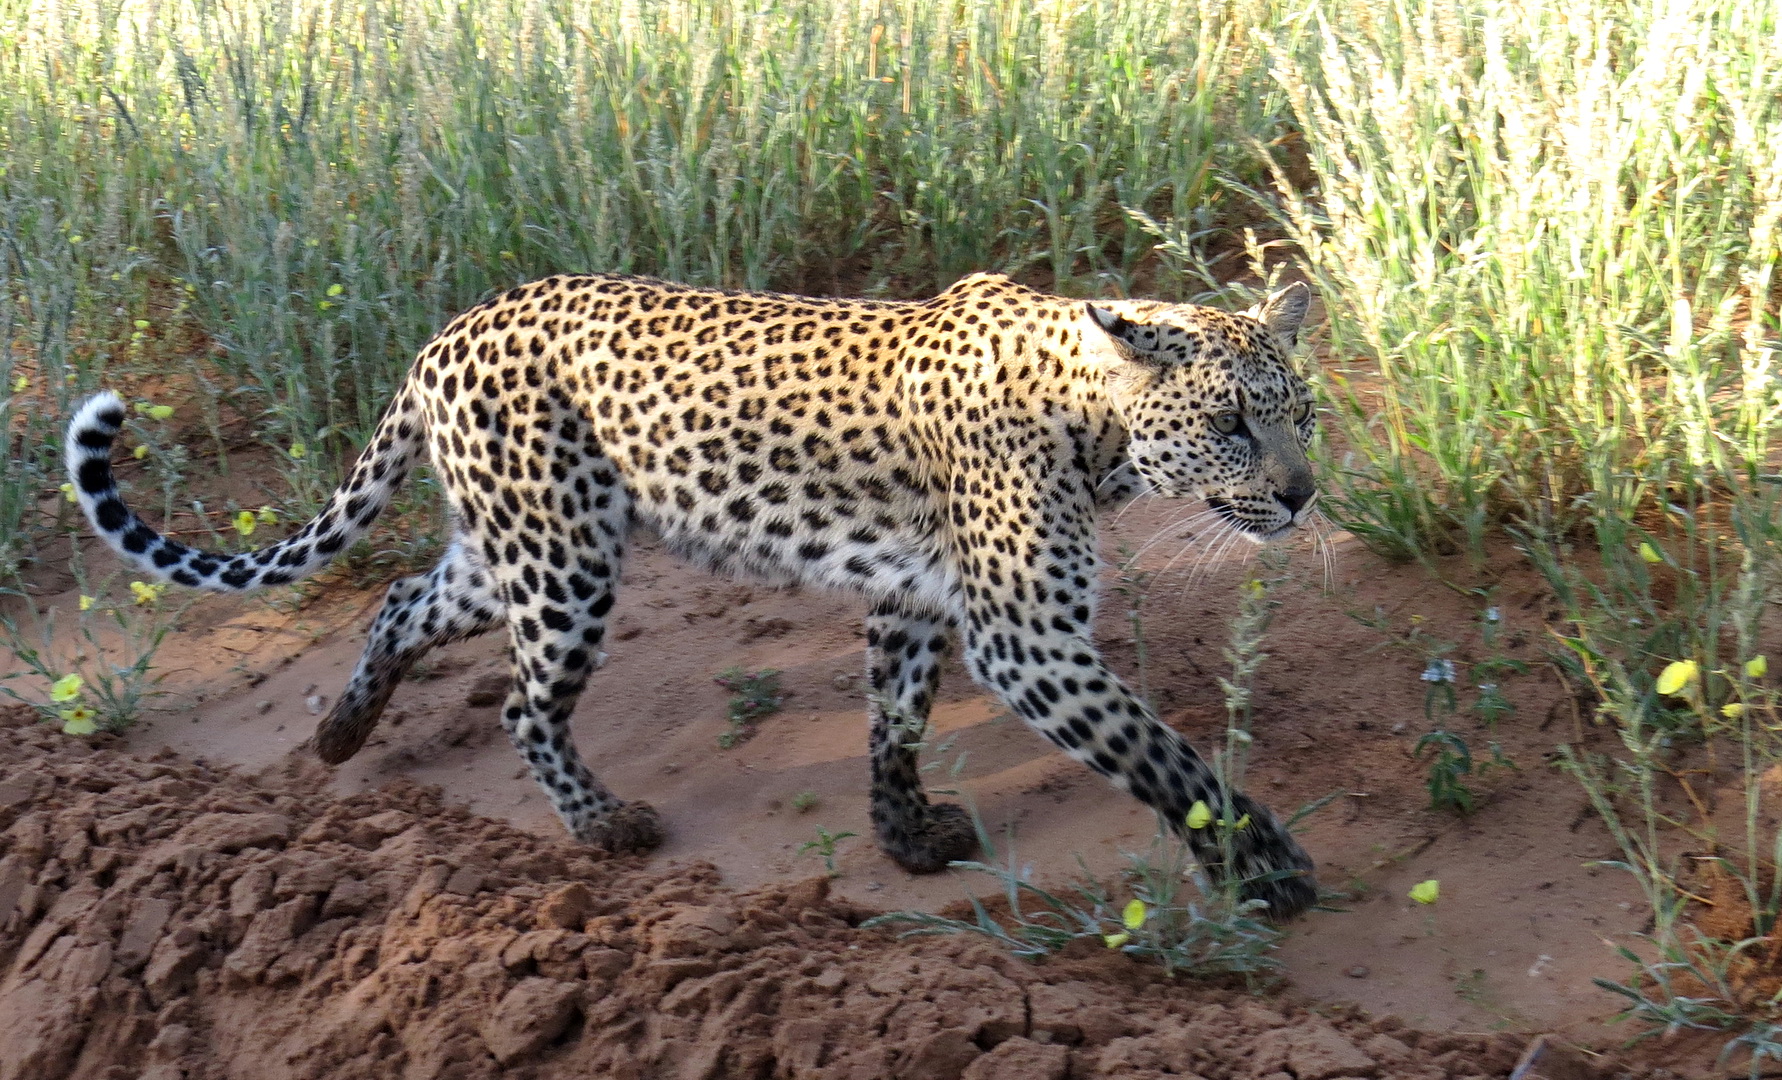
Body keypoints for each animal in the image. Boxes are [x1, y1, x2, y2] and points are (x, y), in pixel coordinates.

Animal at [66, 271, 1321, 917]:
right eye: (1231, 422)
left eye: (1300, 412)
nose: (1305, 494)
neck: (1095, 425)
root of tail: (445, 333)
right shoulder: (1027, 638)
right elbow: (1164, 758)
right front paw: (1266, 868)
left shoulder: (916, 597)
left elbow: (896, 718)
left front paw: (904, 834)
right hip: (563, 560)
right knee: (523, 702)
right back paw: (601, 824)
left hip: (510, 544)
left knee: (400, 604)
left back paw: (341, 731)